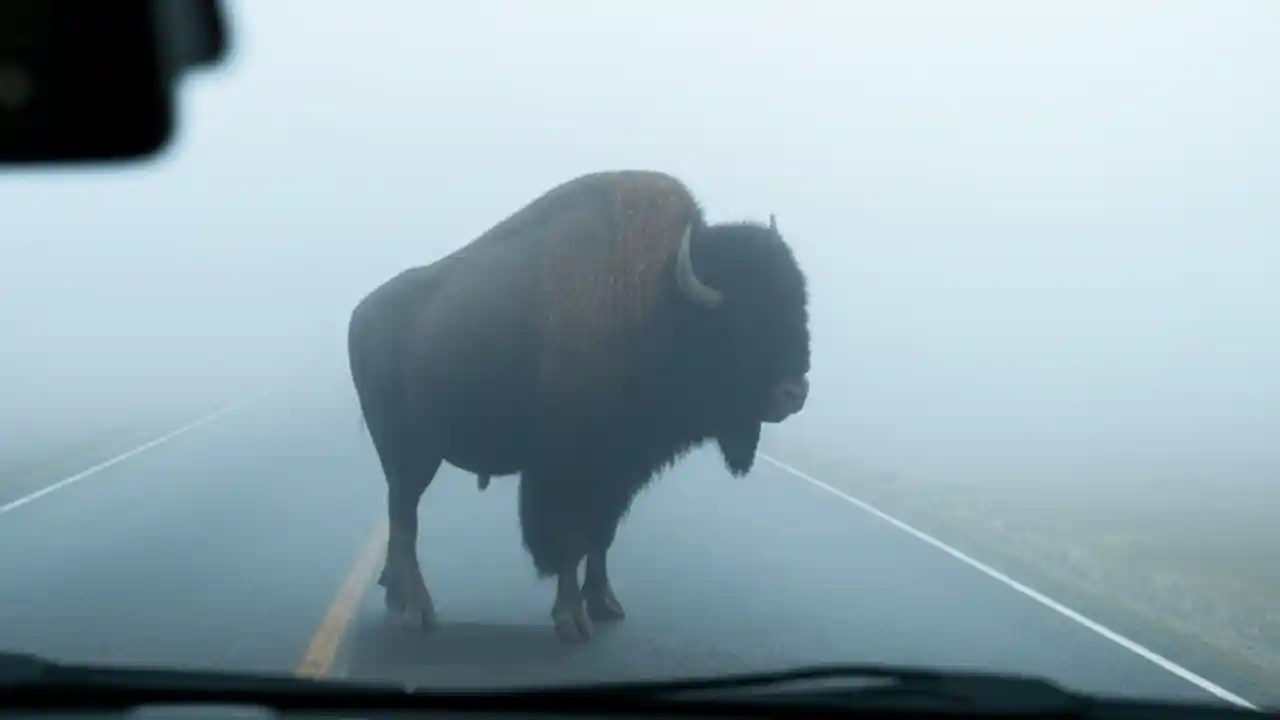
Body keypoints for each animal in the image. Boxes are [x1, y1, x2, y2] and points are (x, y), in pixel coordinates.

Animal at [347, 170, 810, 643]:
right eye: (741, 320)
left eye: (799, 303)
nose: (794, 393)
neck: (657, 299)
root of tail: (361, 313)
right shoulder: (568, 469)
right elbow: (570, 541)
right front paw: (571, 619)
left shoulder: (618, 471)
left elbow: (600, 537)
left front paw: (605, 603)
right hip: (408, 451)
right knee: (405, 516)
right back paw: (417, 610)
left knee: (399, 515)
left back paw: (395, 593)